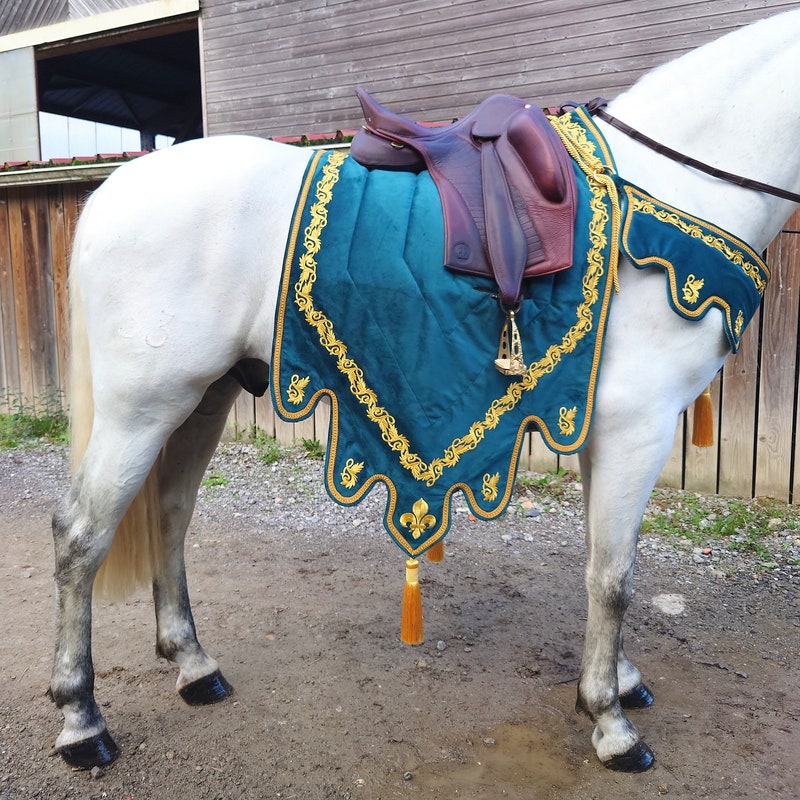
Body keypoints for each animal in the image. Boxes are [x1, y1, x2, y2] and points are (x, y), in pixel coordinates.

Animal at [49, 8, 800, 774]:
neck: (667, 189)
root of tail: (113, 190)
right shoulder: (638, 425)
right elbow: (614, 578)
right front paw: (610, 721)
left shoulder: (600, 424)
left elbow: (602, 559)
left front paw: (616, 682)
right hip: (142, 408)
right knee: (81, 535)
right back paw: (82, 718)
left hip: (202, 400)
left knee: (170, 514)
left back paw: (193, 664)